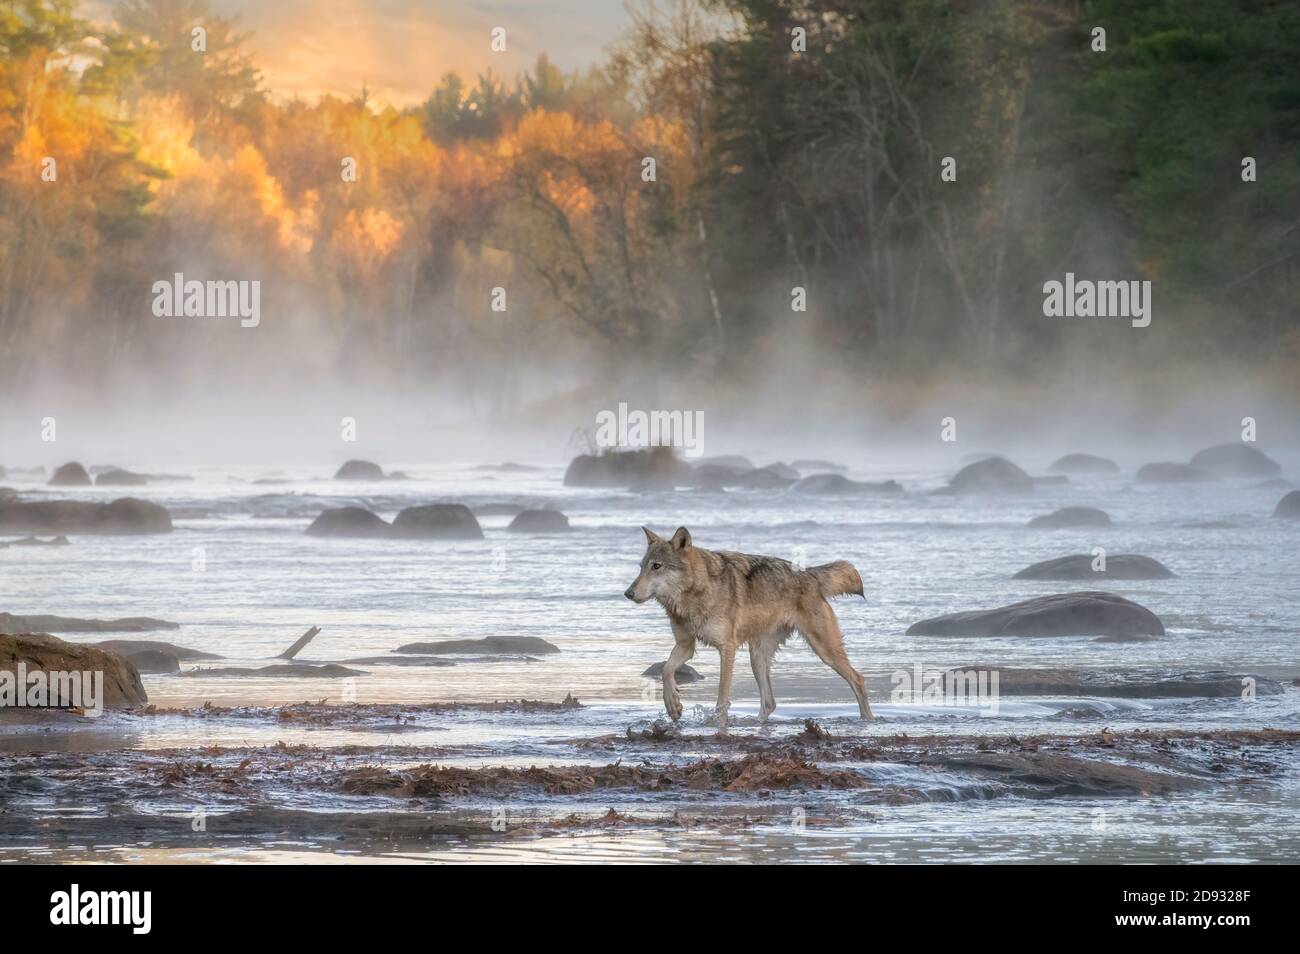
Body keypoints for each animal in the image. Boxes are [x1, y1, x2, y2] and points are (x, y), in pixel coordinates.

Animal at [624, 526, 873, 729]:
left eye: (656, 566)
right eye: (641, 567)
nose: (628, 593)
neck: (694, 594)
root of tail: (810, 573)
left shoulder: (727, 649)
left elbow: (722, 698)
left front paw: (720, 726)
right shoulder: (686, 645)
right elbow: (666, 670)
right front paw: (673, 705)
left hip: (824, 651)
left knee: (858, 679)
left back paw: (868, 721)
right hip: (758, 658)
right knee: (770, 702)